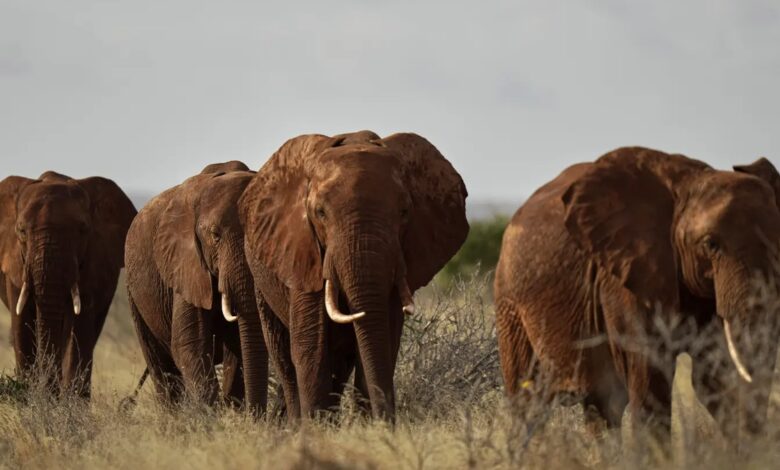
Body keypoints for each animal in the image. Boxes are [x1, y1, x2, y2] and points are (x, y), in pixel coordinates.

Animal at [0, 171, 136, 397]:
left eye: (83, 229)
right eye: (21, 230)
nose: (49, 390)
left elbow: (78, 330)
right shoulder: (15, 265)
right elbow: (22, 324)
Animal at [124, 161, 268, 412]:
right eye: (215, 236)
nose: (257, 416)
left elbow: (239, 345)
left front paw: (232, 412)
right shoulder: (185, 264)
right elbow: (190, 343)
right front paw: (210, 415)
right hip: (134, 294)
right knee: (158, 361)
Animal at [238, 130, 469, 421]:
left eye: (404, 212)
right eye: (320, 213)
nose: (386, 421)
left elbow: (384, 339)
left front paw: (367, 425)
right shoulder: (302, 253)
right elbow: (310, 344)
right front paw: (317, 427)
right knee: (284, 356)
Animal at [494, 147, 780, 437]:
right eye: (711, 244)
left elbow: (714, 377)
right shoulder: (624, 277)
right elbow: (650, 379)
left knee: (600, 406)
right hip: (509, 301)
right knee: (529, 403)